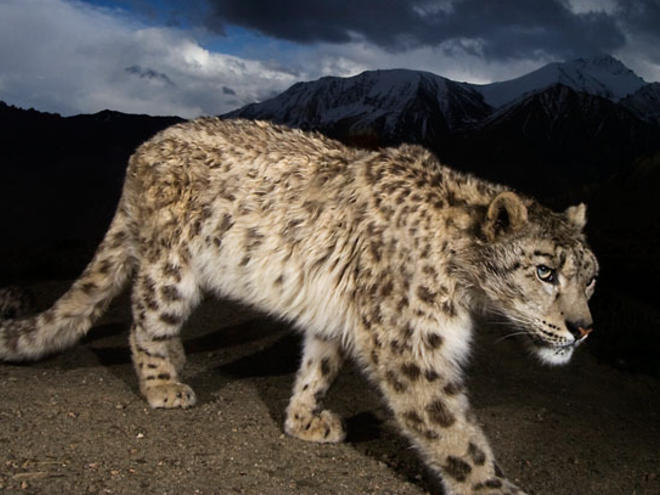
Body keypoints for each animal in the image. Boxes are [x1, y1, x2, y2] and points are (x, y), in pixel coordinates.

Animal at [0, 118, 598, 495]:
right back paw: (163, 383)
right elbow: (452, 429)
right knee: (144, 320)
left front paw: (304, 418)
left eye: (591, 278)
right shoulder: (410, 344)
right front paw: (491, 485)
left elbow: (320, 365)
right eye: (545, 272)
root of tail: (141, 151)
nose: (584, 329)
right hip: (171, 271)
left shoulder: (337, 314)